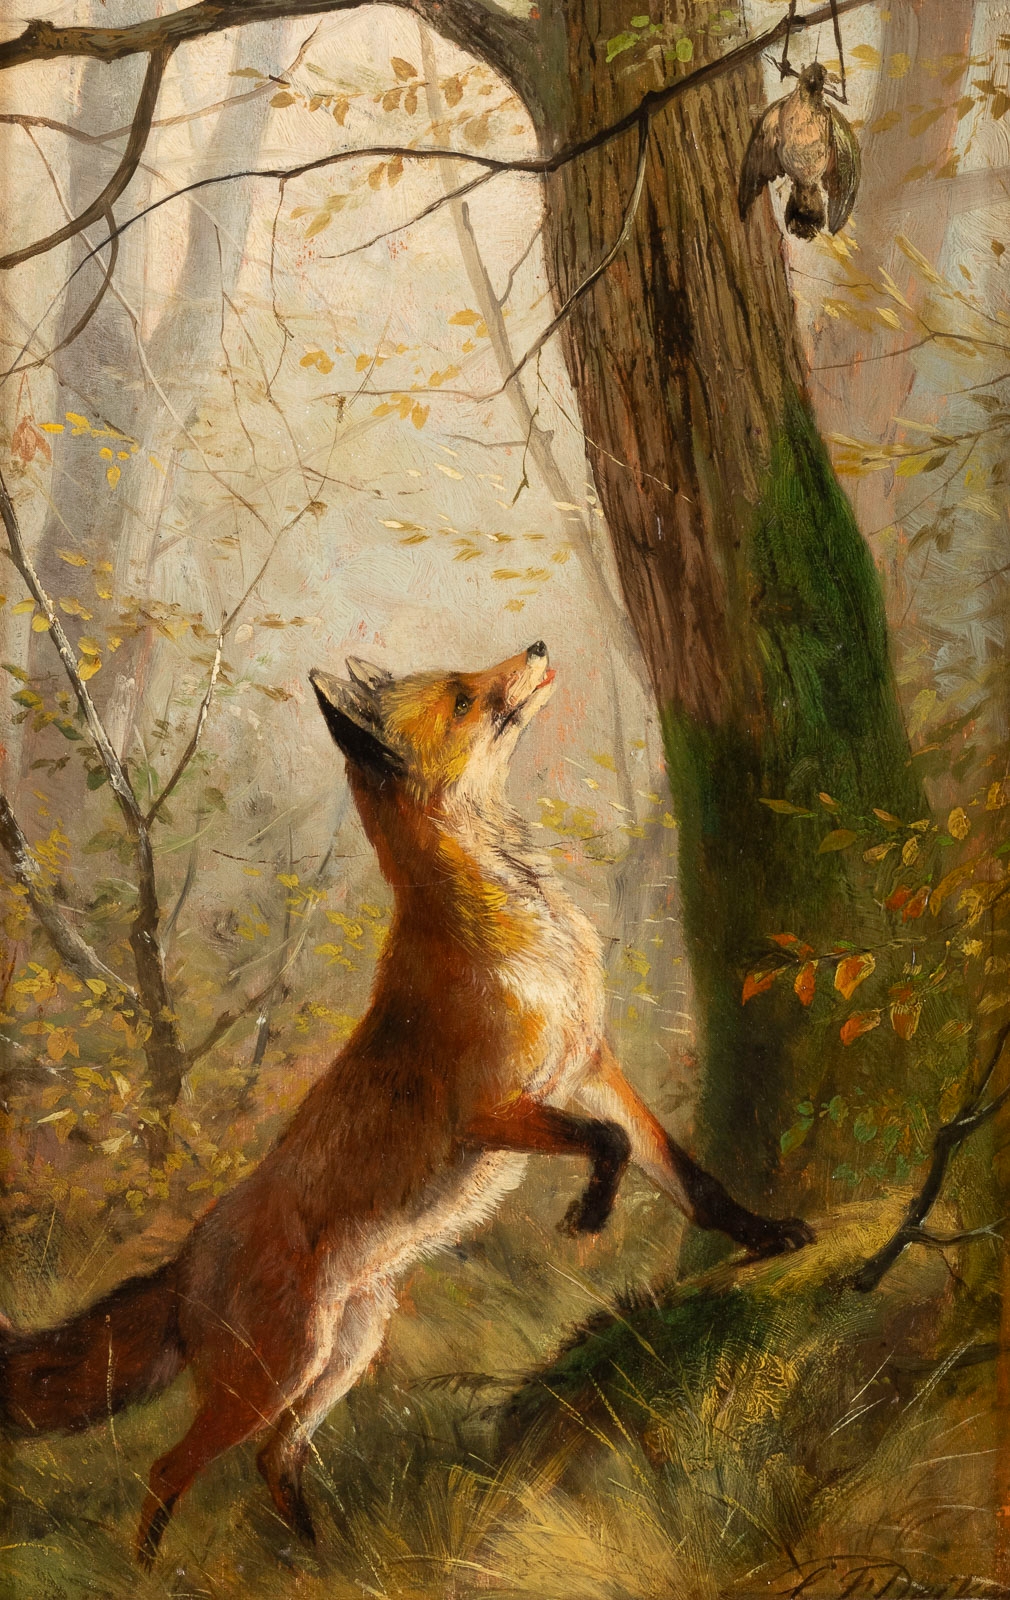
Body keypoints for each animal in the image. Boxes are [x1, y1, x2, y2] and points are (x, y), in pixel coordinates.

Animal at [0, 642, 813, 1566]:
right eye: (462, 698)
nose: (537, 648)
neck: (518, 924)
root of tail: (186, 1262)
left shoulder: (591, 1067)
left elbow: (690, 1180)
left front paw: (767, 1235)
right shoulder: (495, 1112)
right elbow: (605, 1143)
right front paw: (590, 1214)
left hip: (345, 1353)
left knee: (277, 1457)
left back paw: (324, 1564)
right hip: (277, 1370)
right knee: (171, 1468)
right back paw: (150, 1575)